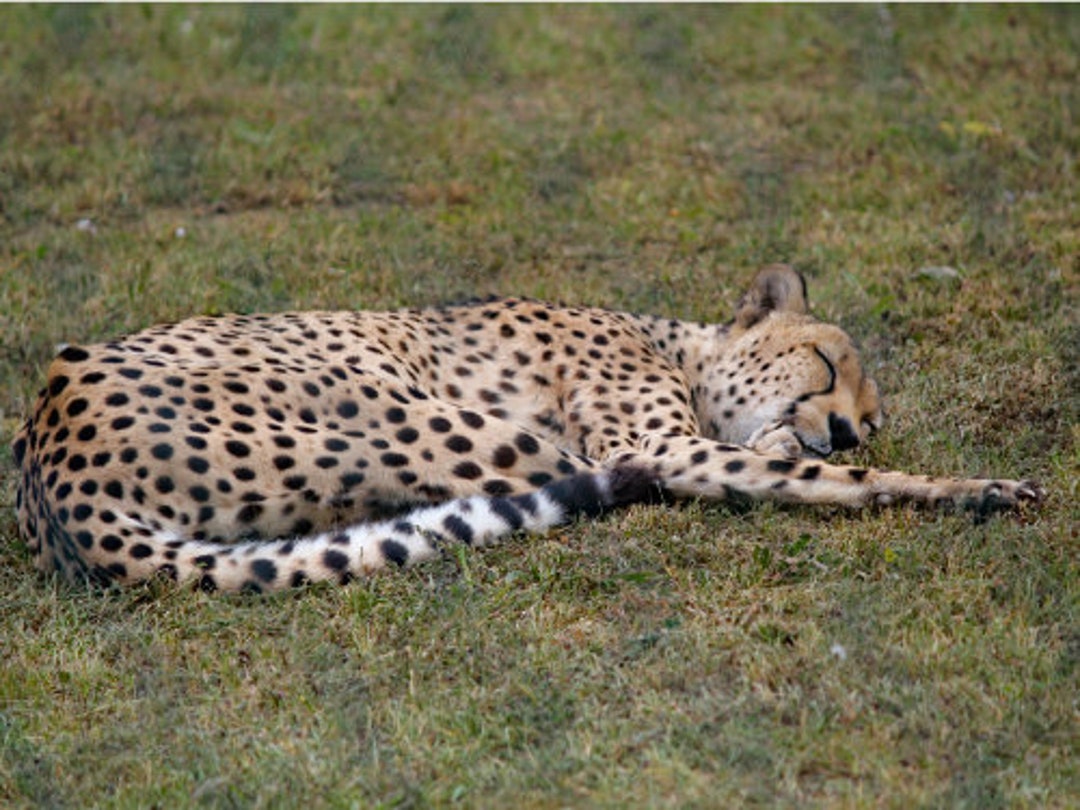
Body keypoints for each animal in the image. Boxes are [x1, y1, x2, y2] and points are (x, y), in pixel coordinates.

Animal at [12, 264, 1042, 594]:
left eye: (871, 419)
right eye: (826, 366)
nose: (847, 431)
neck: (676, 346)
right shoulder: (653, 445)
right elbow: (828, 483)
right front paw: (982, 488)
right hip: (454, 425)